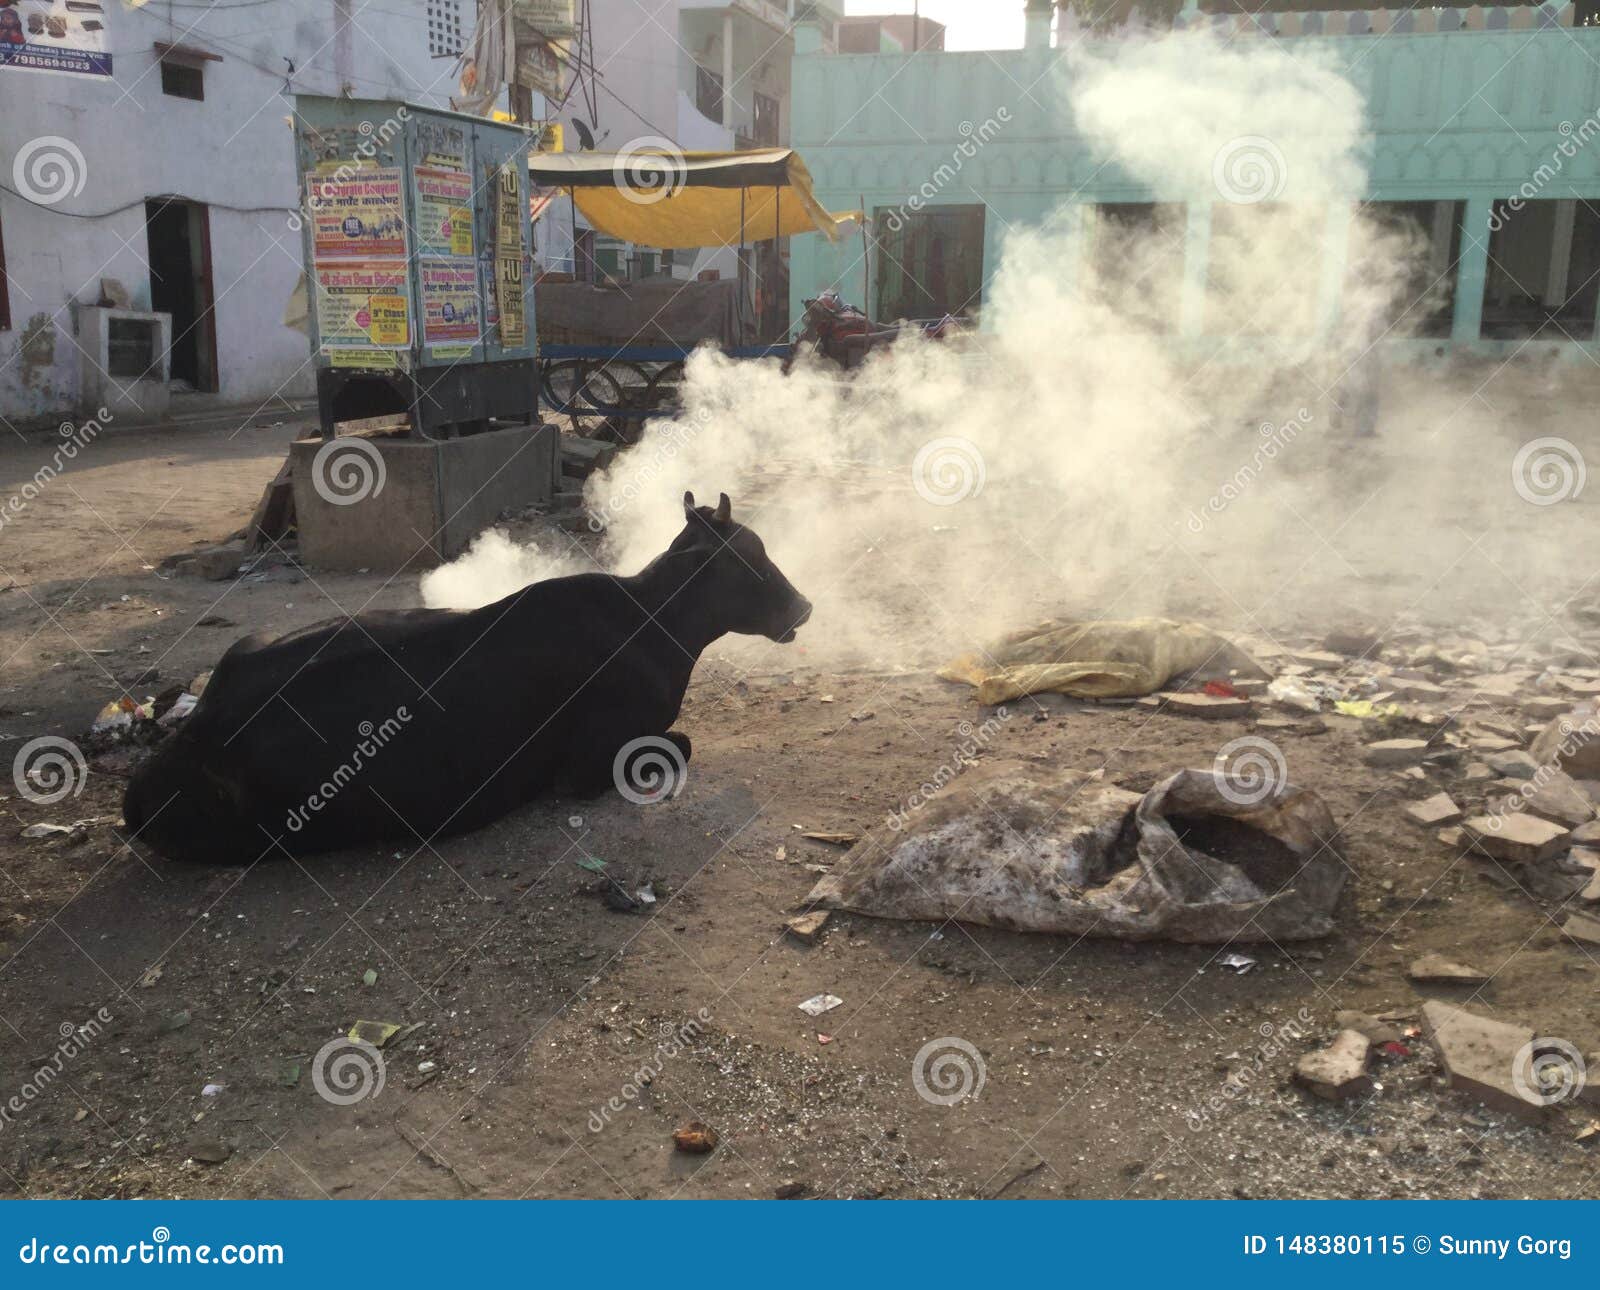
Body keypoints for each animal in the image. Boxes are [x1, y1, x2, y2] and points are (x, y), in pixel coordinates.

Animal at [123, 492, 811, 862]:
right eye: (752, 558)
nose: (804, 607)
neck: (652, 621)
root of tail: (181, 746)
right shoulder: (591, 766)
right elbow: (682, 743)